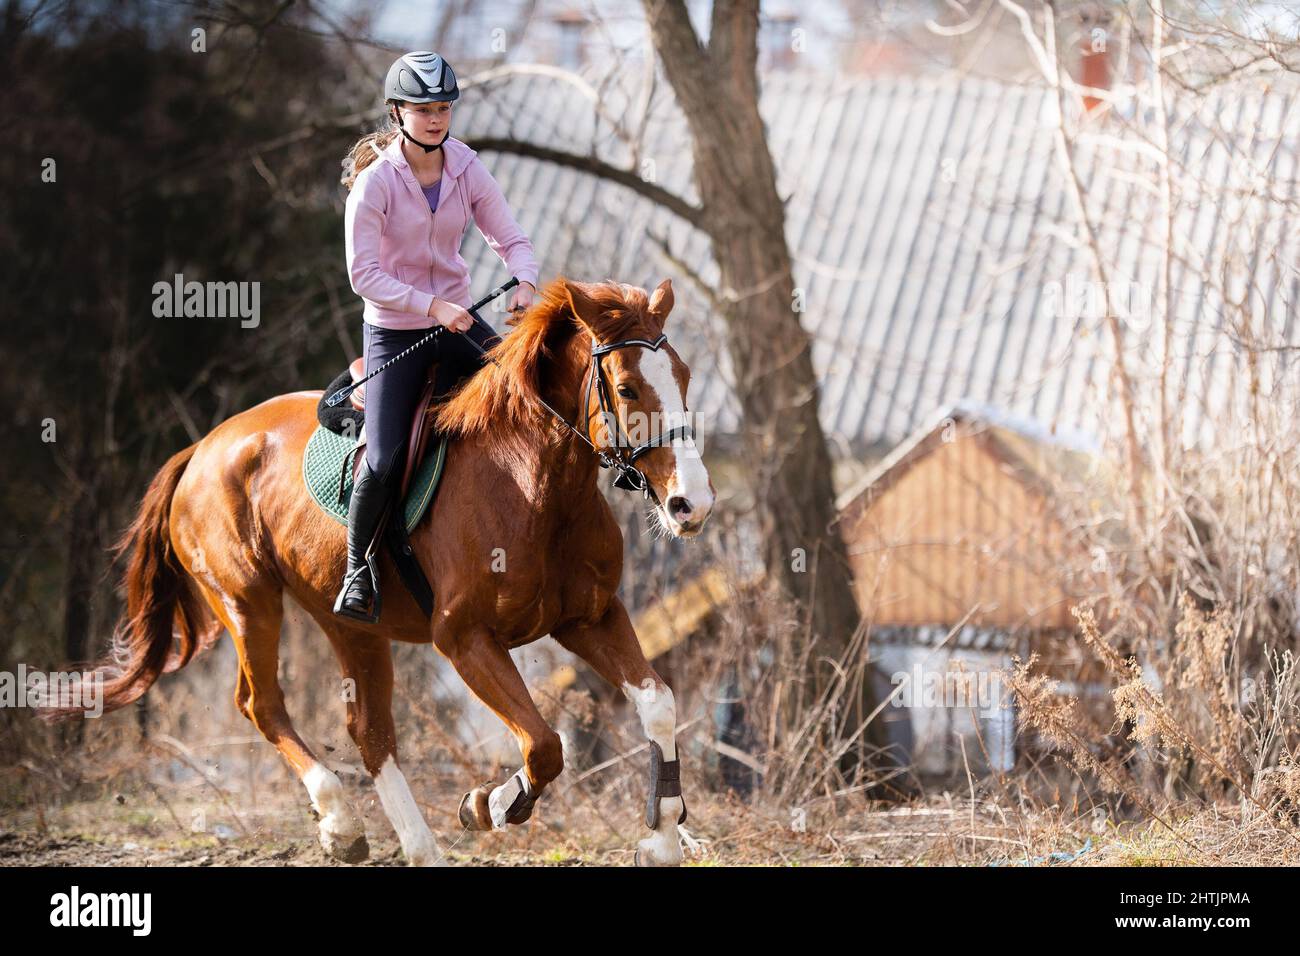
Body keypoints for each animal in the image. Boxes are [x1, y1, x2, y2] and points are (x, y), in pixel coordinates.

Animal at [46, 276, 715, 866]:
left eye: (684, 377)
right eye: (626, 389)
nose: (693, 504)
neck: (535, 484)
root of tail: (202, 449)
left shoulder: (589, 617)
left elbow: (657, 703)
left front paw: (660, 842)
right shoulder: (464, 639)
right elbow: (544, 745)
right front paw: (489, 804)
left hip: (349, 622)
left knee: (368, 729)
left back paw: (419, 851)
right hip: (247, 602)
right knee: (262, 704)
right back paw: (341, 825)